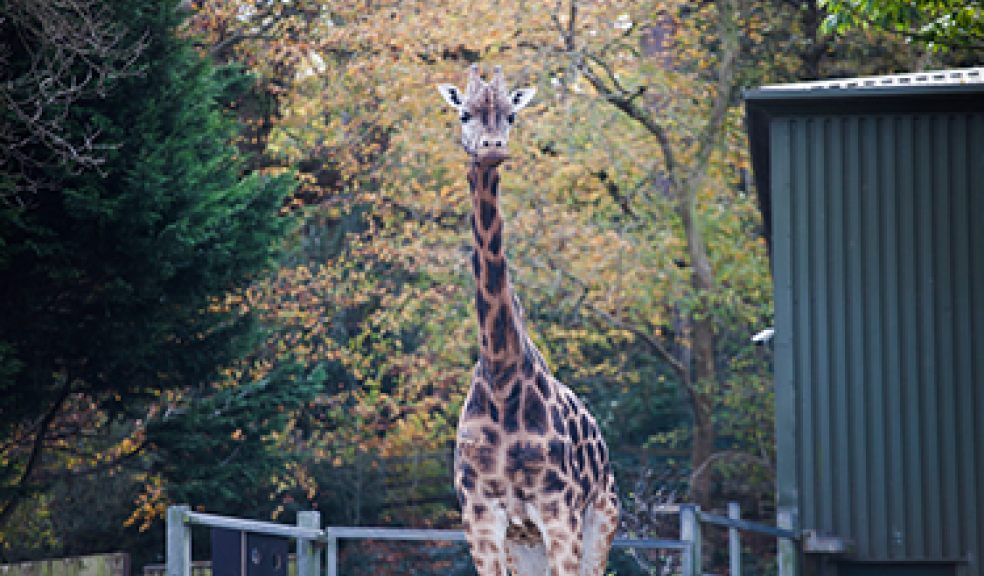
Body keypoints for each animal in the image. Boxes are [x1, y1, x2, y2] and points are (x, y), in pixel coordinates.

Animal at [437, 64, 619, 576]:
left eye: (512, 115)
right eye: (464, 113)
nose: (492, 147)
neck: (501, 374)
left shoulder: (560, 514)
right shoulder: (480, 518)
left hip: (600, 522)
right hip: (524, 546)